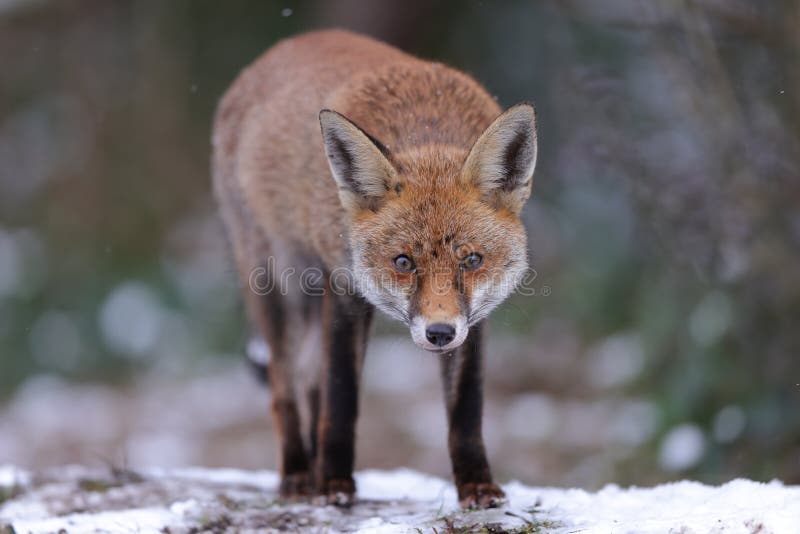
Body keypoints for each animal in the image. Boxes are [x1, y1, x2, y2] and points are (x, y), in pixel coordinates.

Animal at [212, 29, 537, 509]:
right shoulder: (345, 286)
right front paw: (334, 485)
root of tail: (284, 46)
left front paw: (476, 485)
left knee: (311, 380)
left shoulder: (475, 316)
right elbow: (342, 397)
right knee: (284, 386)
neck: (426, 127)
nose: (439, 333)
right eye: (403, 262)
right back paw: (299, 474)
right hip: (274, 283)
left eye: (472, 260)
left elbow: (466, 410)